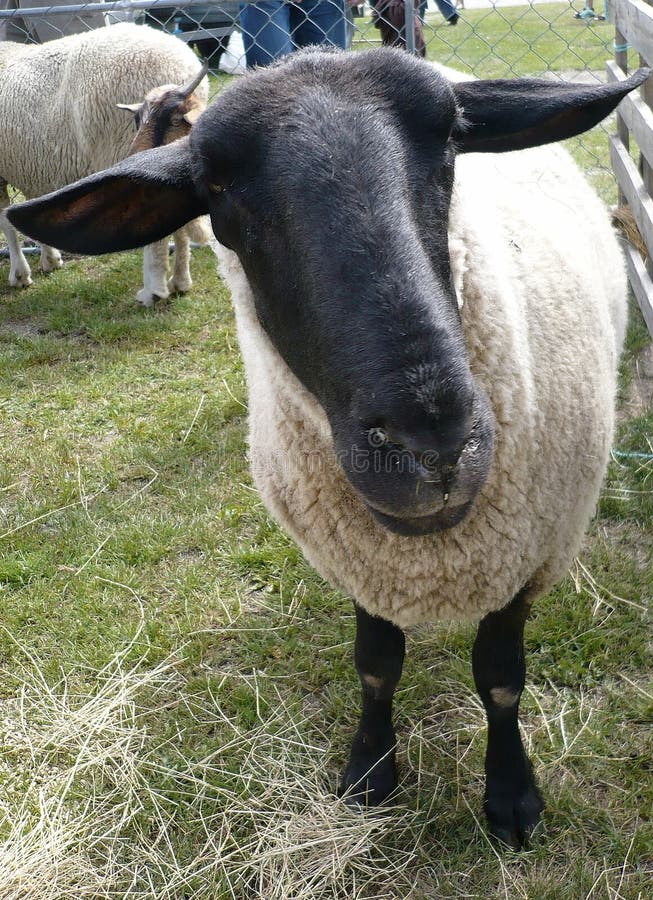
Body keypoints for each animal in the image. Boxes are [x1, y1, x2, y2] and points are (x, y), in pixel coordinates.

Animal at [0, 22, 209, 305]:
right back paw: (179, 282)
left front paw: (20, 273)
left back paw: (152, 291)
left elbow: (6, 221)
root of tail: (178, 63)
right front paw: (49, 260)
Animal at [7, 48, 648, 849]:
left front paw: (509, 795)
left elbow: (500, 679)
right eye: (214, 188)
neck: (433, 557)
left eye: (451, 141)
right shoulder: (356, 560)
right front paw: (369, 771)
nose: (432, 445)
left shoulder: (530, 554)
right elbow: (376, 667)